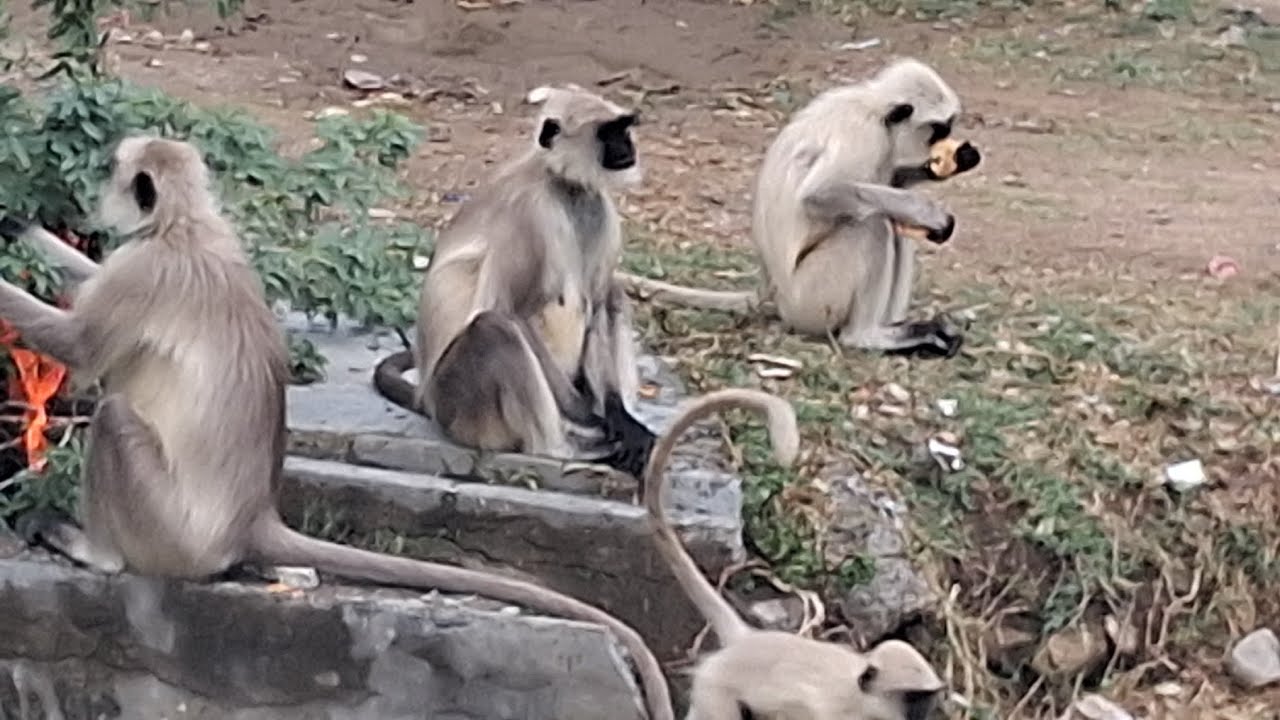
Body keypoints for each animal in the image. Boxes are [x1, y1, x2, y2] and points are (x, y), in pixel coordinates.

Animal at [0, 135, 674, 720]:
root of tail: (254, 520)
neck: (184, 225)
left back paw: (97, 552)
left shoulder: (145, 270)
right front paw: (21, 226)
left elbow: (79, 346)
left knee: (115, 419)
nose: (95, 193)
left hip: (168, 530)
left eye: (114, 174)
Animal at [373, 84, 657, 480]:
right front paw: (593, 418)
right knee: (494, 327)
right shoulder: (529, 213)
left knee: (613, 292)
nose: (628, 146)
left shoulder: (597, 207)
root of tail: (426, 399)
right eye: (609, 132)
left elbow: (598, 300)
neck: (564, 186)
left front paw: (619, 417)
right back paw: (570, 448)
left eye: (624, 128)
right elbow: (511, 311)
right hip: (460, 408)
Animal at [643, 388, 945, 720]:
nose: (926, 713)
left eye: (926, 700)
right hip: (716, 693)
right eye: (914, 700)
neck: (861, 694)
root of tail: (746, 640)